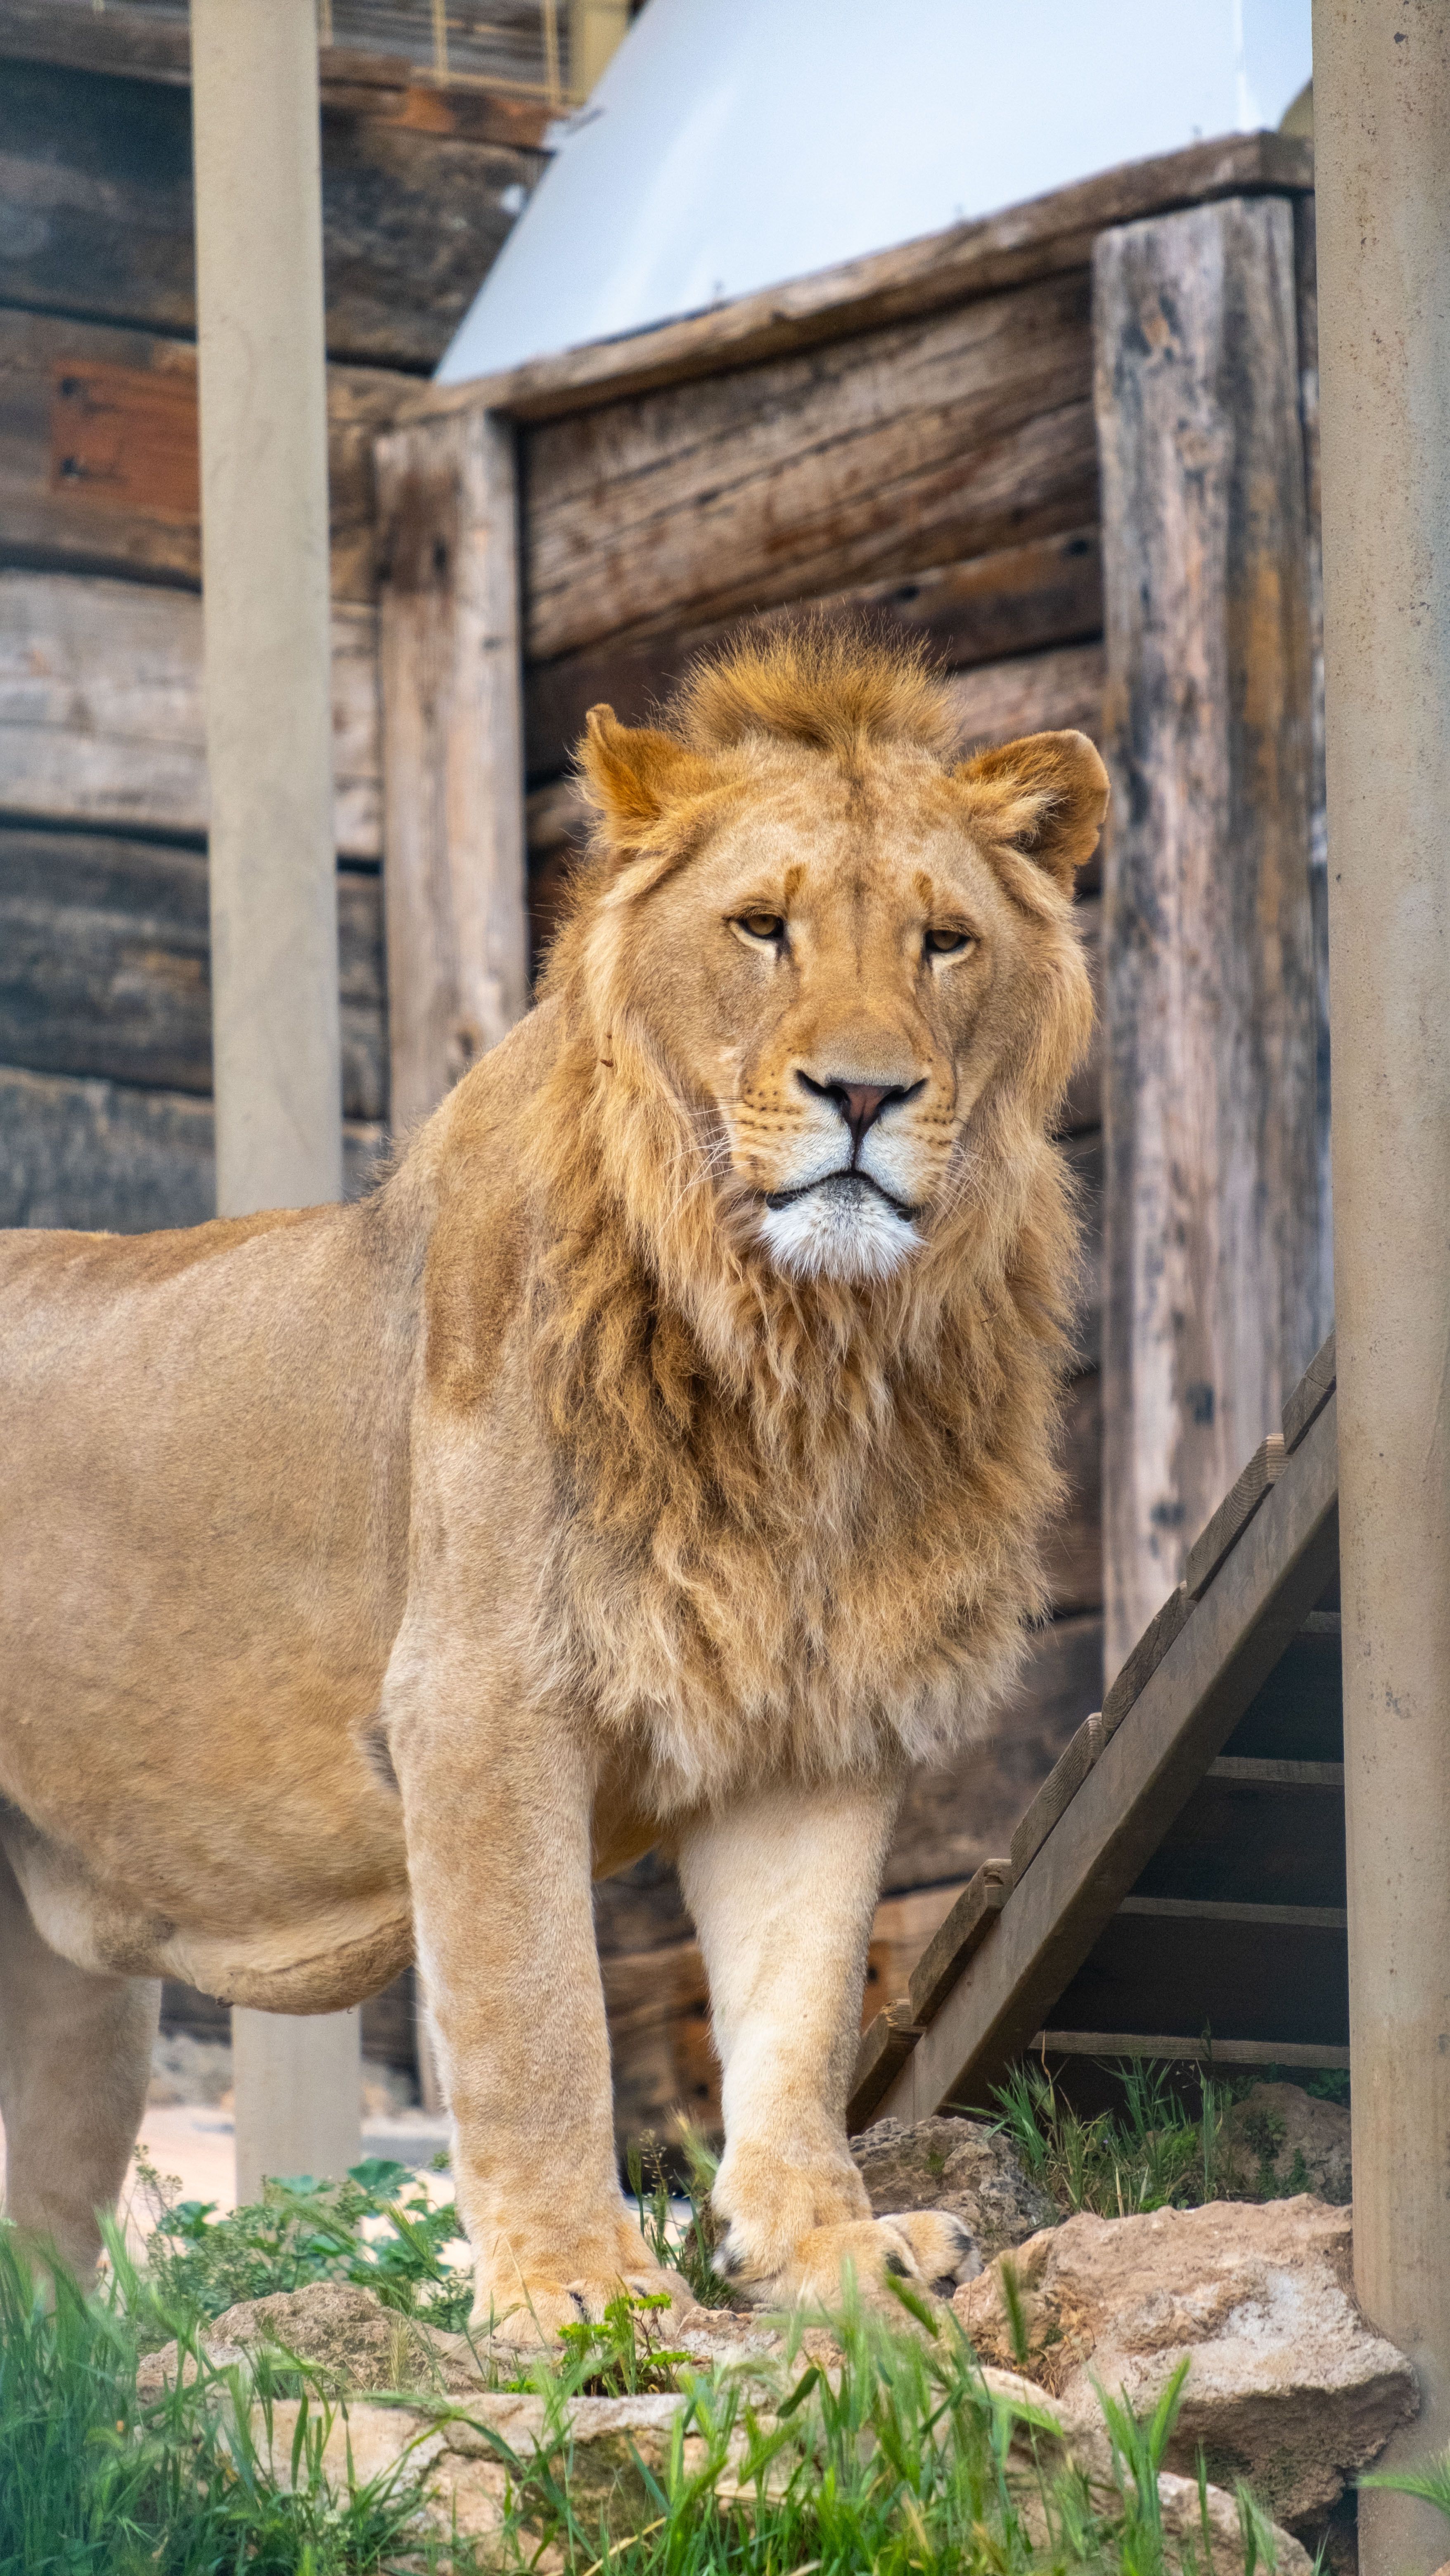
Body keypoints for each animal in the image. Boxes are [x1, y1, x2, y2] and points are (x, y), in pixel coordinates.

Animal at [0, 625, 1104, 2337]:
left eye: (944, 943)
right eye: (762, 927)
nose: (865, 1095)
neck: (800, 1348)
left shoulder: (817, 1717)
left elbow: (798, 2010)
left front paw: (824, 2250)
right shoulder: (478, 1697)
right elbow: (541, 2018)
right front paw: (575, 2288)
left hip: (67, 1993)